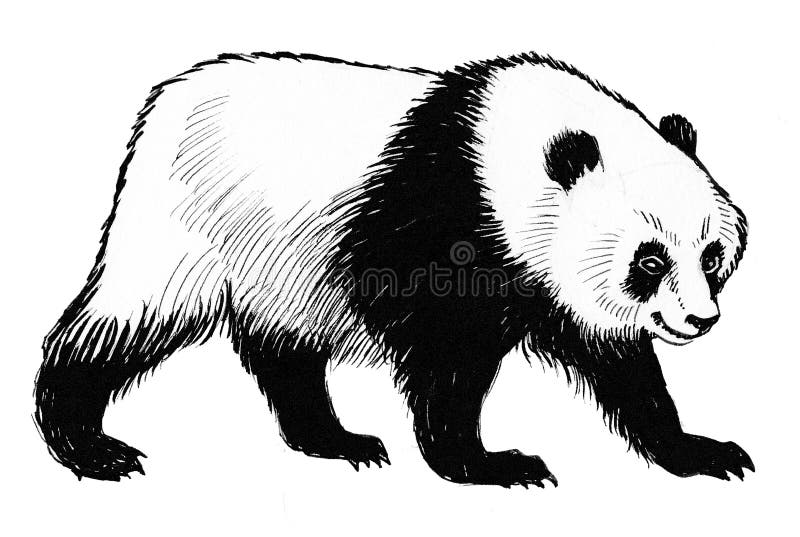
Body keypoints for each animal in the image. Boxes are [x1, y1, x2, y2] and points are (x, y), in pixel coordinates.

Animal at [35, 51, 752, 486]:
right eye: (649, 259)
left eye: (711, 254)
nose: (700, 319)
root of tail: (164, 100)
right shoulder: (443, 214)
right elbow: (443, 353)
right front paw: (489, 461)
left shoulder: (550, 278)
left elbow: (622, 369)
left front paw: (699, 449)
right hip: (192, 225)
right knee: (127, 321)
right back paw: (89, 444)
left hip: (278, 269)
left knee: (283, 350)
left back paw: (334, 437)